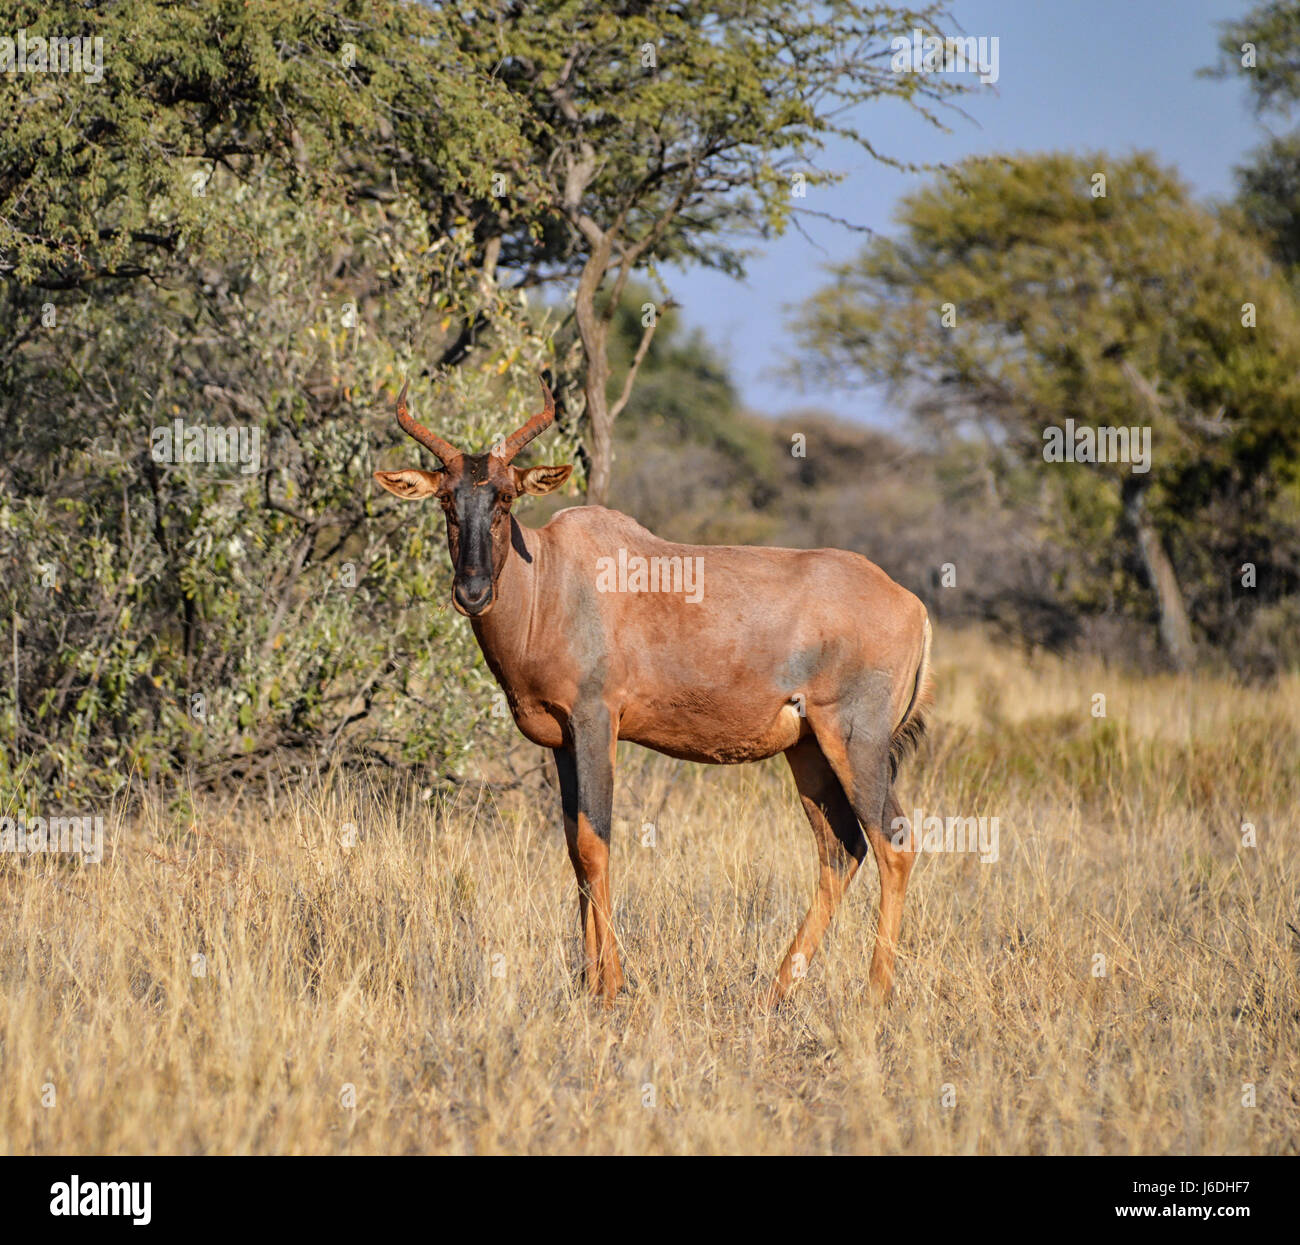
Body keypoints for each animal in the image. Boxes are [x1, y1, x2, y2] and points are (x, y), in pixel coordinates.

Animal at [374, 377, 933, 1005]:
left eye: (505, 498)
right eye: (447, 500)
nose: (472, 593)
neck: (553, 576)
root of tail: (911, 604)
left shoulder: (597, 722)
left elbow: (595, 842)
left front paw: (612, 985)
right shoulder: (563, 741)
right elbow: (572, 847)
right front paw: (588, 981)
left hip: (857, 742)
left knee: (893, 844)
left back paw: (875, 995)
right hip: (809, 748)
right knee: (841, 849)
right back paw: (775, 992)